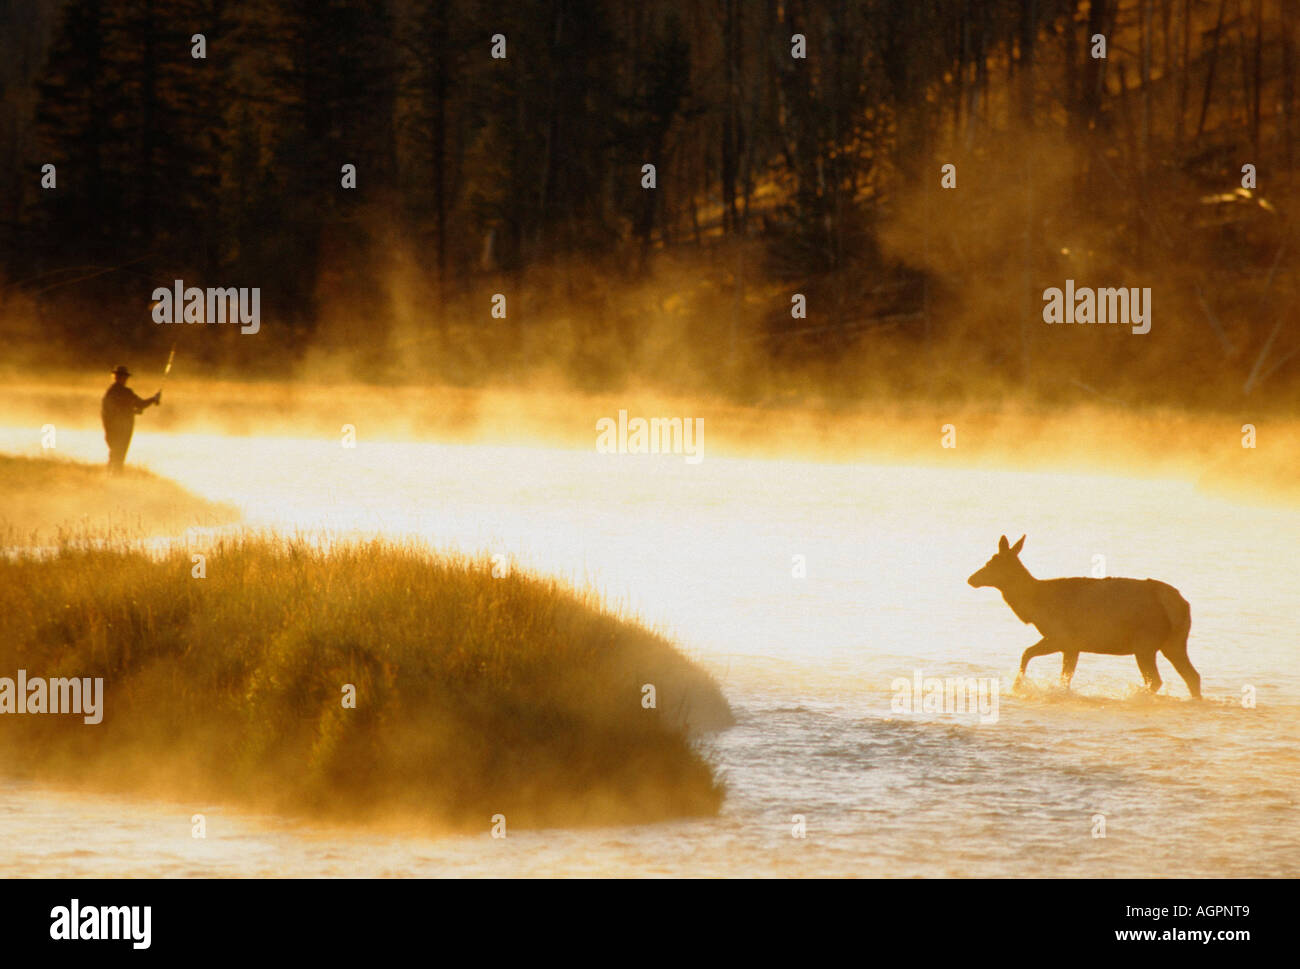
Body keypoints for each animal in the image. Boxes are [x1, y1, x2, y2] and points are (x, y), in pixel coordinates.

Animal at [967, 535, 1201, 699]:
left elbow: (1026, 653)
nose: (971, 579)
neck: (1036, 606)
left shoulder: (1062, 636)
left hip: (1145, 641)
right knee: (1192, 676)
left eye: (991, 563)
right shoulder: (1073, 645)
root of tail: (1181, 604)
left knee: (1156, 680)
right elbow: (1065, 677)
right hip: (1174, 642)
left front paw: (1017, 686)